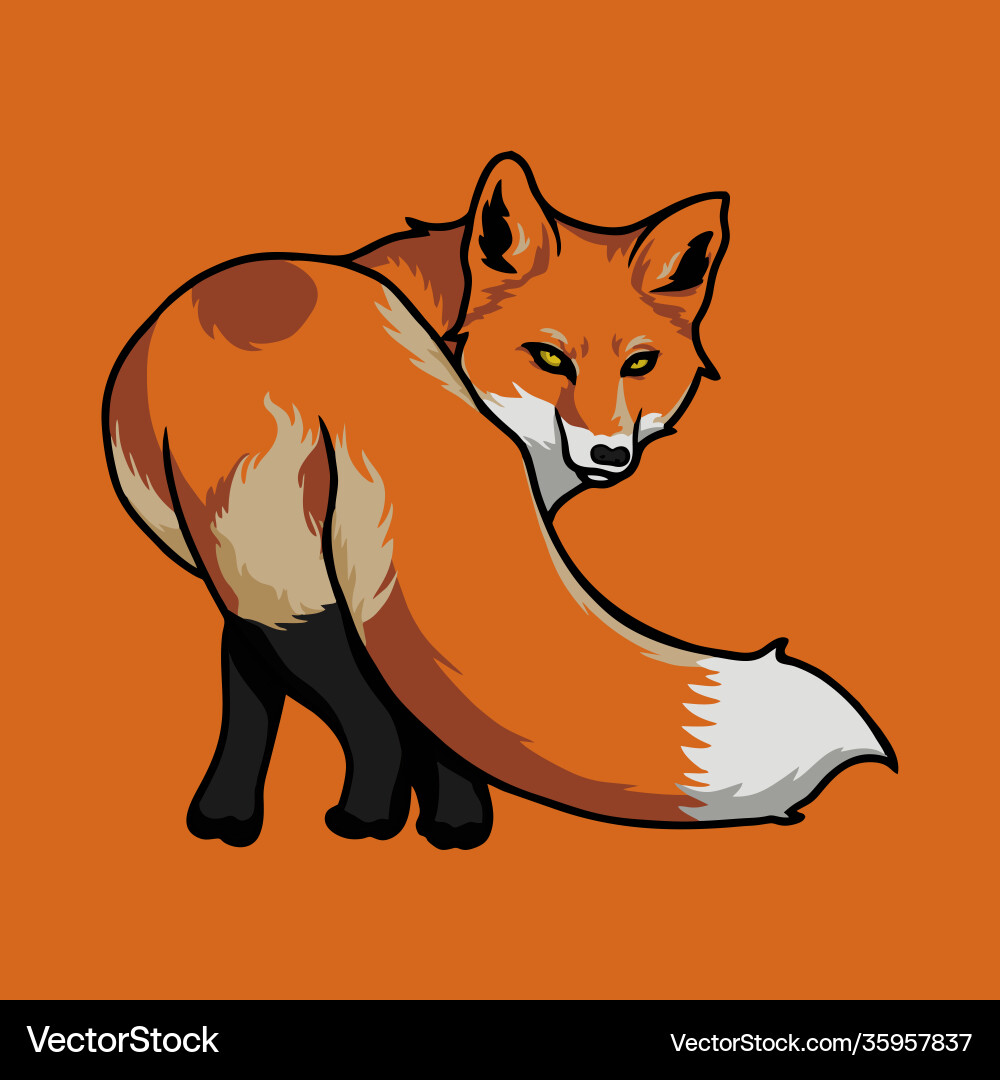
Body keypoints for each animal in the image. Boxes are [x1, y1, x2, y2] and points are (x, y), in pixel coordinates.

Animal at [103, 153, 895, 851]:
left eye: (641, 364)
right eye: (548, 358)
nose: (609, 456)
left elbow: (276, 687)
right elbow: (263, 689)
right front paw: (230, 810)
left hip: (278, 571)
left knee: (362, 700)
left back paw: (380, 817)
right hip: (277, 570)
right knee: (359, 698)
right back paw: (375, 817)